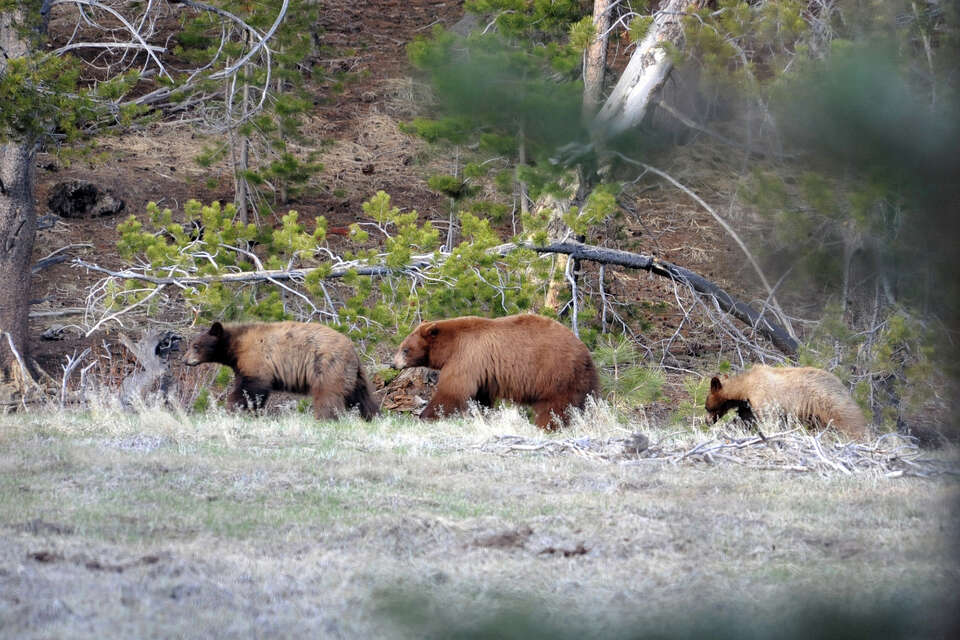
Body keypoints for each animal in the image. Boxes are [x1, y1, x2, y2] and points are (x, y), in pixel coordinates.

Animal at [183, 321, 378, 420]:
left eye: (196, 346)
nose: (184, 360)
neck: (236, 344)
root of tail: (352, 349)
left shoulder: (256, 359)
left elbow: (251, 389)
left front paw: (234, 409)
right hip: (354, 373)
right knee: (362, 396)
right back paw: (373, 416)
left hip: (326, 366)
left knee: (327, 395)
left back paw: (324, 418)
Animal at [391, 314, 599, 430]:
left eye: (405, 349)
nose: (393, 364)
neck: (450, 346)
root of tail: (585, 352)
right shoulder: (482, 371)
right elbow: (480, 397)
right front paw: (483, 416)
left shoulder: (467, 356)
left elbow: (453, 390)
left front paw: (425, 416)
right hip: (579, 380)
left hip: (556, 375)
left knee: (555, 408)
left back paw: (546, 427)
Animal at [704, 365, 868, 440]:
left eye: (707, 407)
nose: (706, 421)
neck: (744, 388)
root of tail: (842, 385)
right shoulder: (748, 406)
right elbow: (744, 420)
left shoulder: (763, 399)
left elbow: (767, 420)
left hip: (830, 403)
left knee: (849, 421)